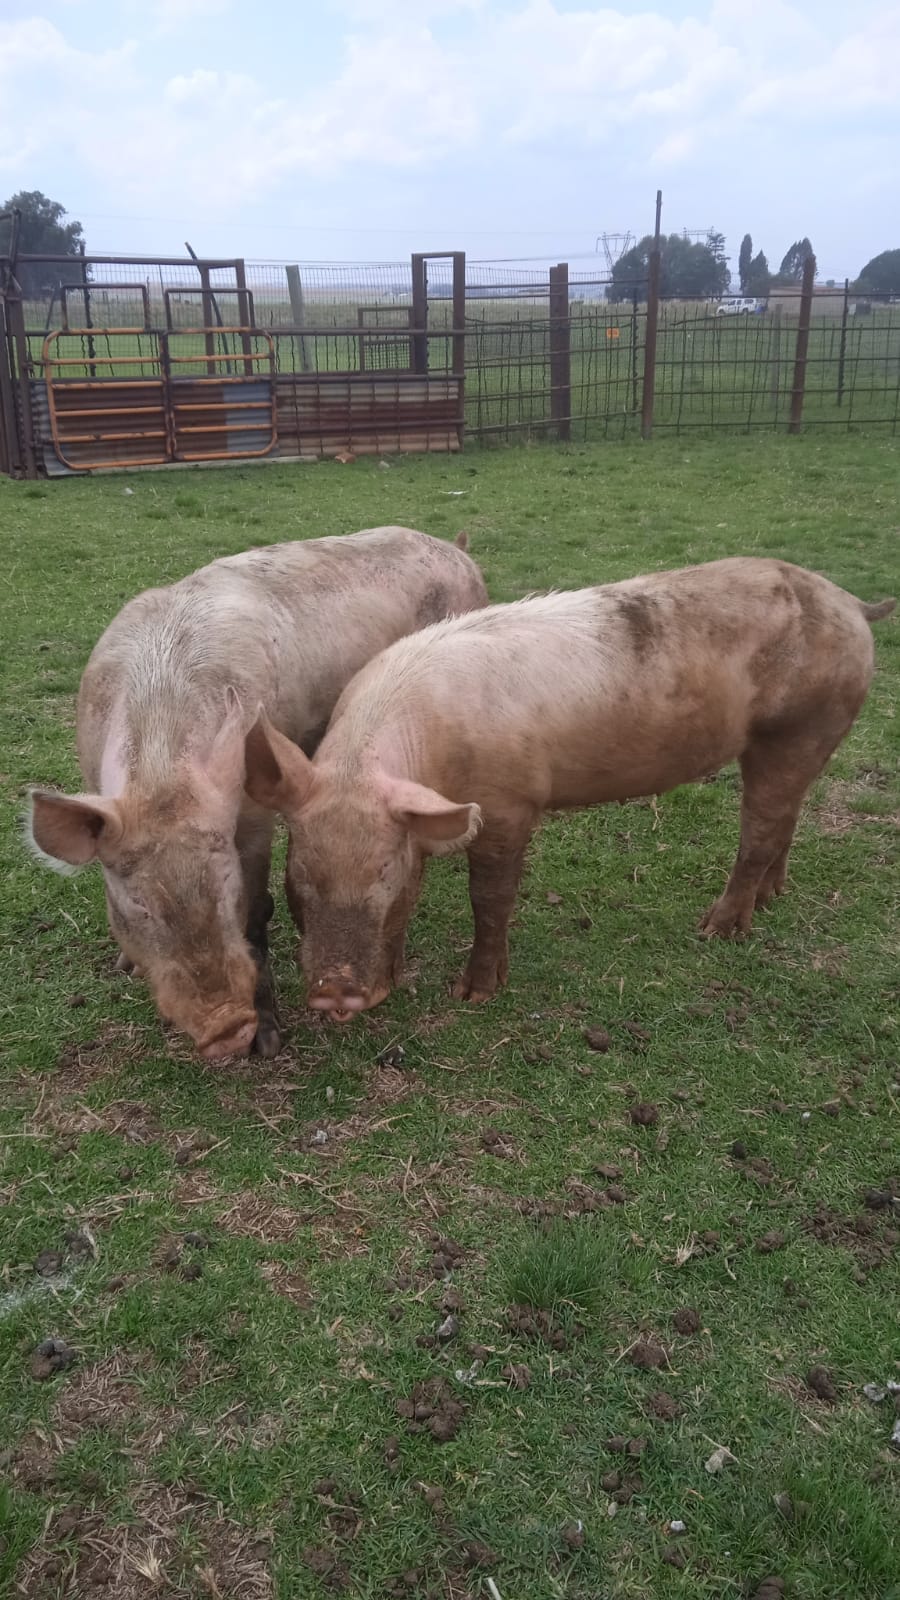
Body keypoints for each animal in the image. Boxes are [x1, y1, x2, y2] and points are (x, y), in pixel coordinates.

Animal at [26, 526, 487, 1059]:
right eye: (136, 903)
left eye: (226, 882)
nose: (226, 1027)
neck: (162, 770)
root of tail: (457, 549)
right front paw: (126, 968)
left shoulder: (252, 814)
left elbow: (257, 913)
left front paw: (268, 1043)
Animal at [242, 558, 894, 1019]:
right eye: (299, 874)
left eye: (384, 871)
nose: (334, 994)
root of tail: (850, 602)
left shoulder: (509, 803)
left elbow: (490, 898)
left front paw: (473, 995)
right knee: (788, 815)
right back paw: (771, 897)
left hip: (801, 725)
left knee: (761, 828)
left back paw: (717, 930)